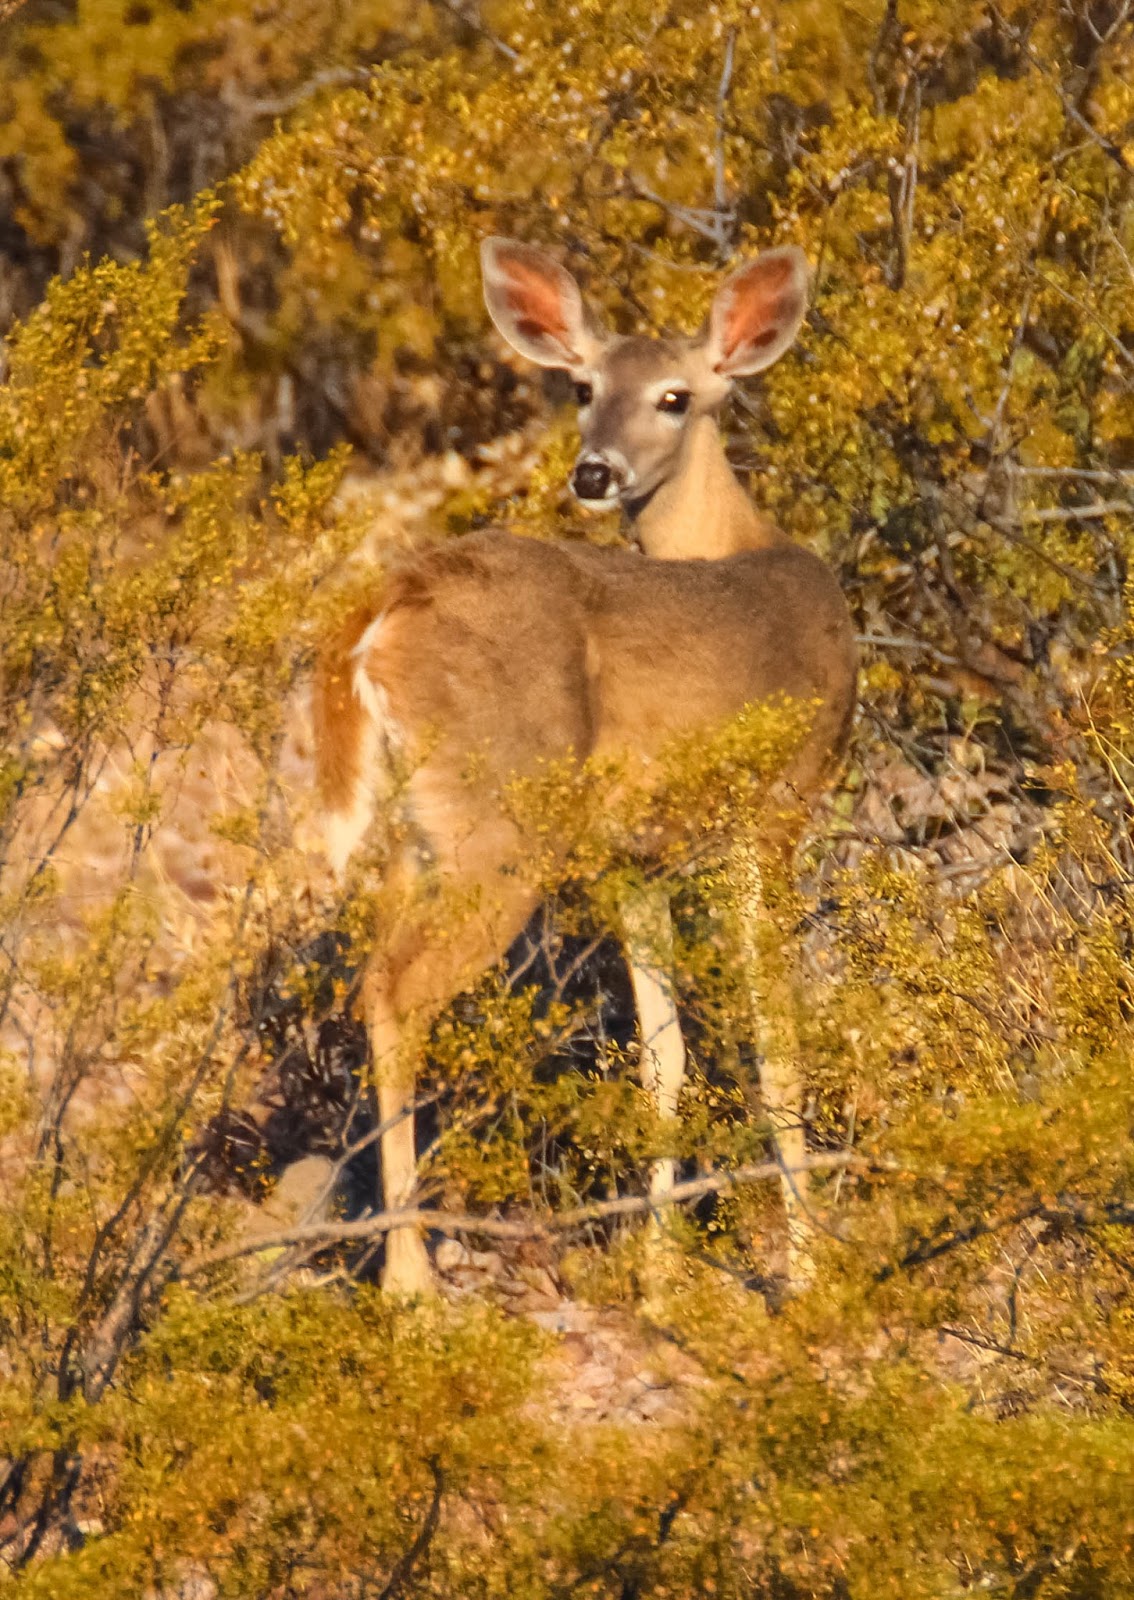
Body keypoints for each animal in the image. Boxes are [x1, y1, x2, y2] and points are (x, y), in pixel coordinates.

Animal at [313, 238, 857, 1297]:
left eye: (674, 396)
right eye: (582, 388)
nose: (595, 472)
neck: (746, 545)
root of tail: (383, 615)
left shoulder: (632, 856)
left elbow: (665, 1053)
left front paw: (660, 1270)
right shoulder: (774, 810)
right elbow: (776, 1038)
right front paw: (814, 1270)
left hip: (417, 835)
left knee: (376, 969)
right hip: (499, 825)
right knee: (396, 988)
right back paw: (411, 1278)